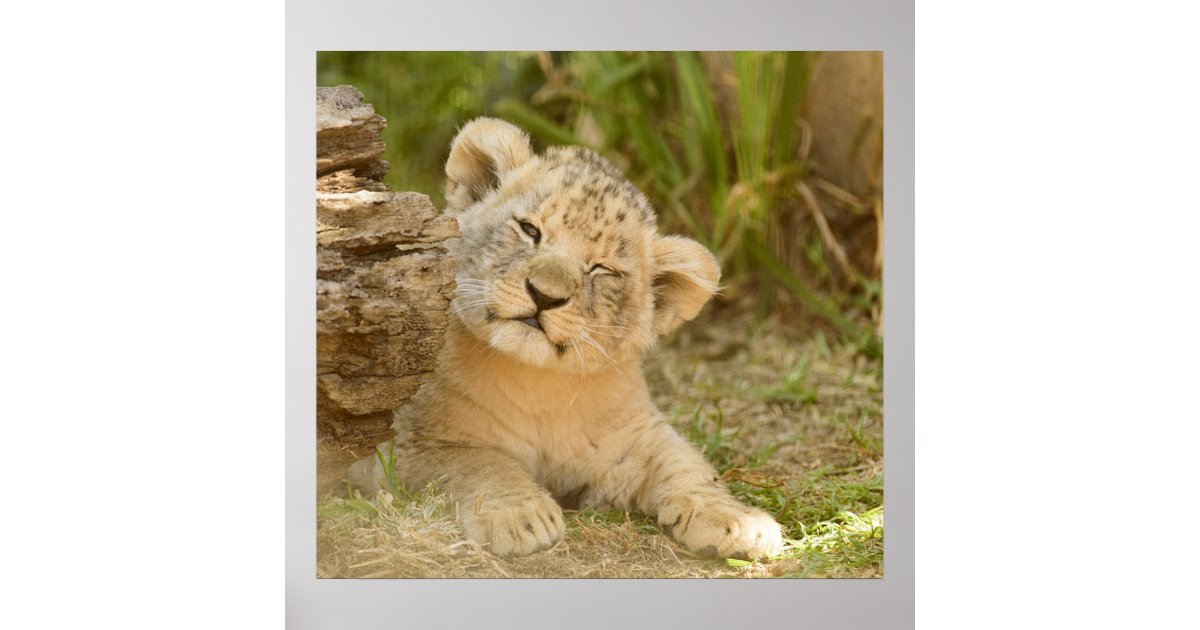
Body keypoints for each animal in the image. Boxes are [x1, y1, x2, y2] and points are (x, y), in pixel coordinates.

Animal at [346, 117, 784, 560]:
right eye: (529, 230)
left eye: (602, 269)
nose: (545, 295)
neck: (539, 386)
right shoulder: (409, 441)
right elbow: (480, 462)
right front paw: (519, 517)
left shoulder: (633, 439)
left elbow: (688, 465)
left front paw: (741, 522)